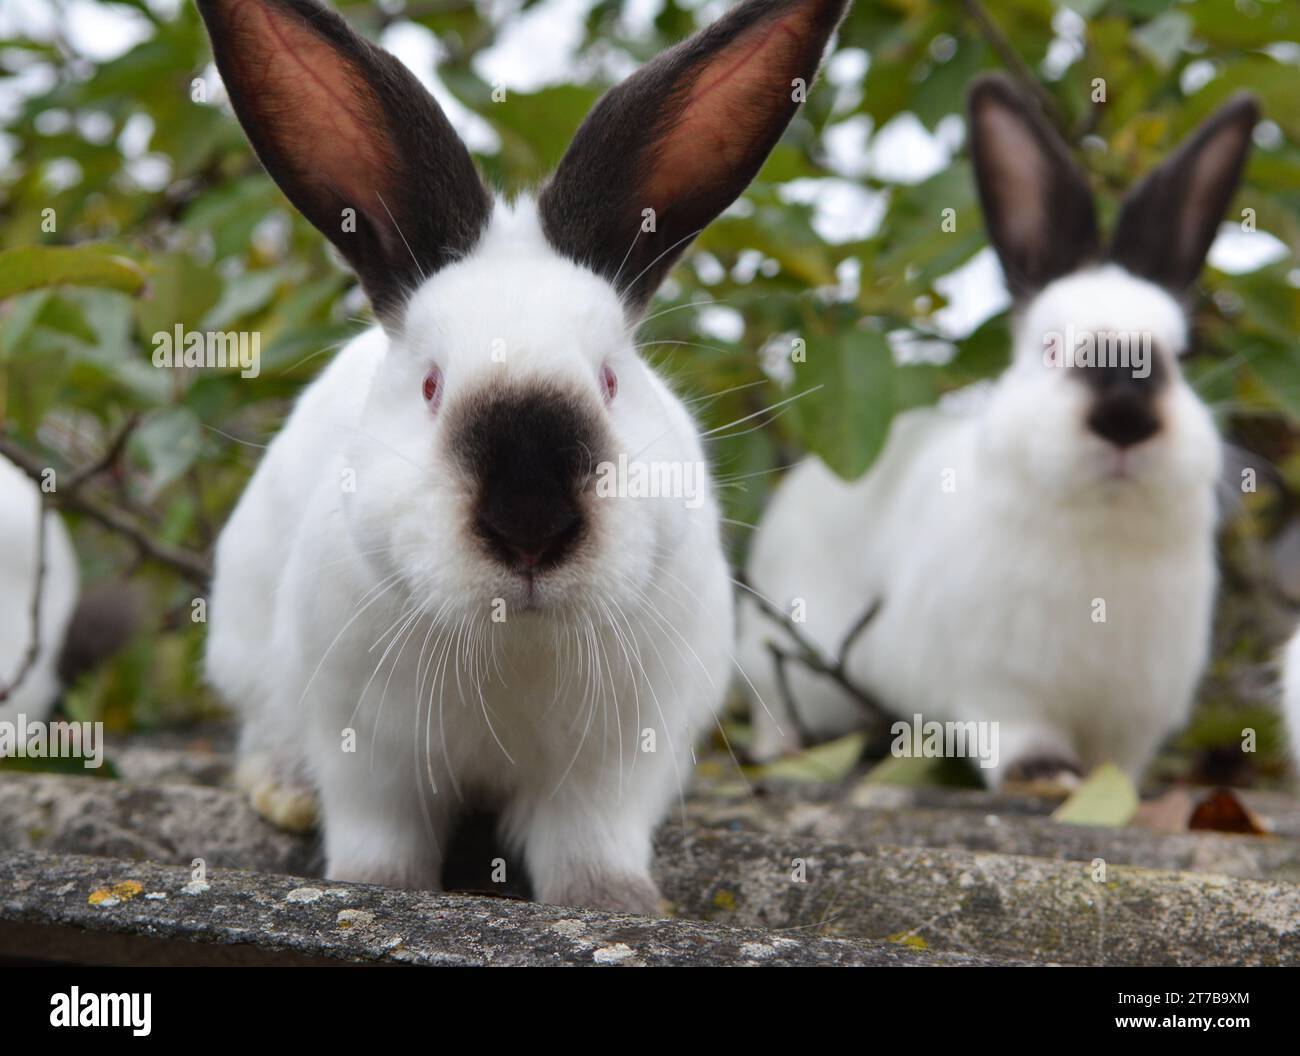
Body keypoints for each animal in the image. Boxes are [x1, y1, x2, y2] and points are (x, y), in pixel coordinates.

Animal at [197, 0, 847, 912]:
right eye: (431, 386)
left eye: (610, 379)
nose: (530, 525)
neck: (515, 645)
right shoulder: (369, 755)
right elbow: (380, 840)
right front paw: (373, 889)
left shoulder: (613, 768)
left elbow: (588, 848)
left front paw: (622, 906)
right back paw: (282, 791)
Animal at [740, 73, 1258, 789]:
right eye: (1050, 347)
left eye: (1180, 356)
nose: (1126, 419)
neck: (1102, 528)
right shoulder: (999, 691)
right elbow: (1018, 735)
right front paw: (1047, 776)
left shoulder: (1135, 720)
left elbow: (1120, 764)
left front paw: (1110, 789)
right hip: (782, 656)